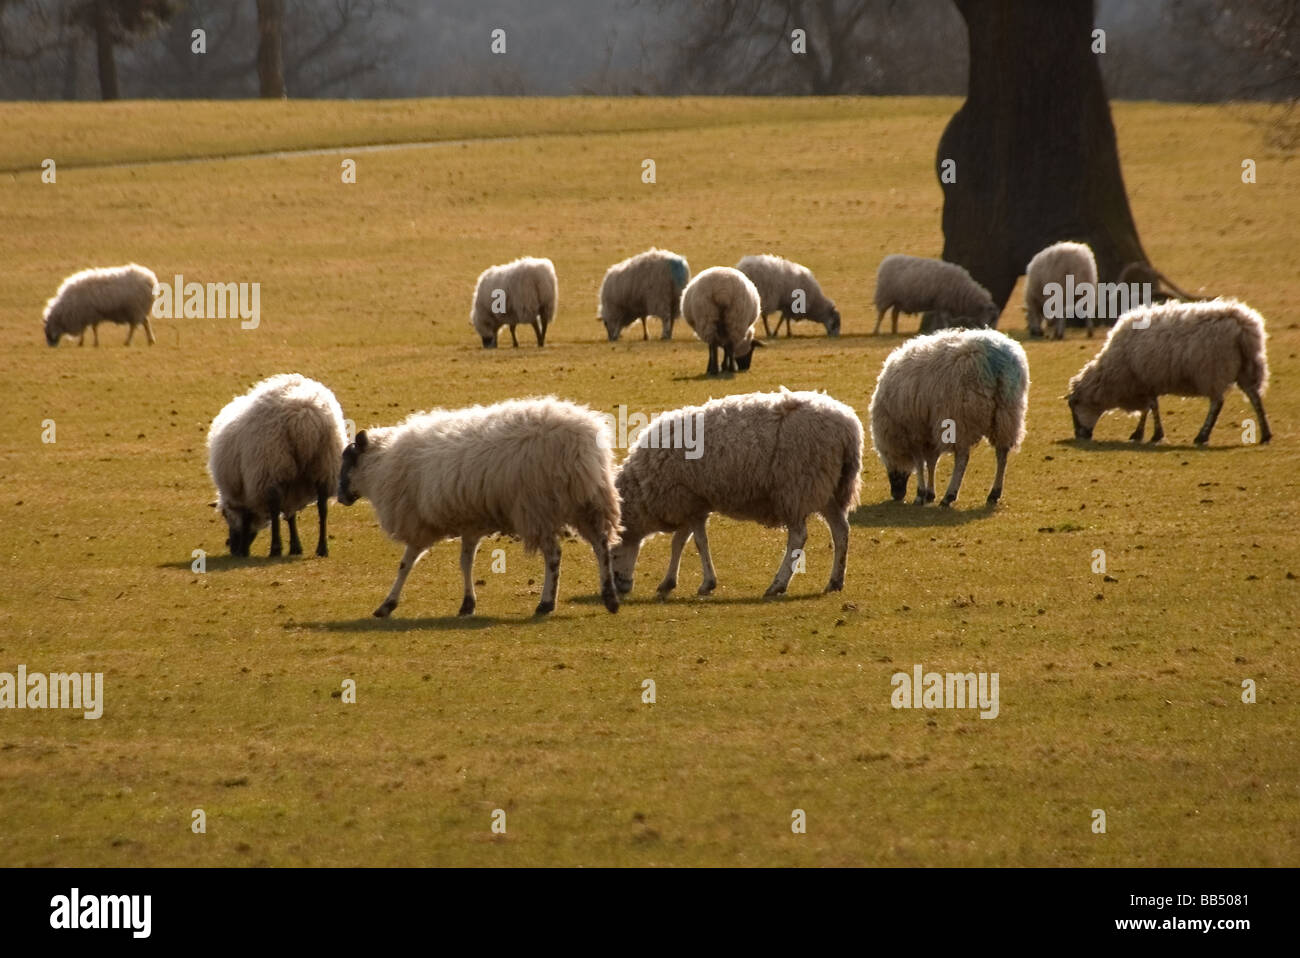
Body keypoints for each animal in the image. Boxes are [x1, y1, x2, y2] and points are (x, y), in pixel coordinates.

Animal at [207, 374, 348, 558]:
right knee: (322, 507)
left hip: (271, 463)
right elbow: (290, 514)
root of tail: (304, 417)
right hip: (325, 462)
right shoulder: (292, 484)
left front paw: (246, 549)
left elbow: (254, 517)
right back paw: (322, 548)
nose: (233, 549)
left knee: (274, 506)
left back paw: (275, 548)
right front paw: (296, 547)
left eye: (225, 515)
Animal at [336, 397, 621, 618]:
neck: (381, 465)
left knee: (554, 555)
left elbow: (405, 564)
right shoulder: (469, 524)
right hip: (589, 500)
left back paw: (546, 603)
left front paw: (387, 605)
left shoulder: (420, 524)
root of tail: (582, 441)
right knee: (601, 545)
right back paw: (610, 597)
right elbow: (466, 562)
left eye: (348, 459)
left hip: (538, 506)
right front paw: (467, 604)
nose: (339, 498)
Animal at [611, 389, 863, 599]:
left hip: (796, 488)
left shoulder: (688, 500)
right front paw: (669, 582)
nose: (620, 588)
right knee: (840, 531)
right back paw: (835, 581)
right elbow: (680, 542)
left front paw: (706, 583)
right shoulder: (694, 502)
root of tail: (849, 427)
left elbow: (698, 543)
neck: (642, 488)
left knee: (798, 537)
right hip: (828, 489)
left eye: (612, 553)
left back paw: (778, 585)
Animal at [869, 328, 1029, 507]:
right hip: (1007, 413)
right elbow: (931, 462)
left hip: (959, 416)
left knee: (962, 458)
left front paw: (920, 494)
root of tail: (996, 362)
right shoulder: (928, 429)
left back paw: (949, 495)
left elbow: (920, 463)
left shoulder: (914, 430)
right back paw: (994, 493)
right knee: (1002, 454)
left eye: (886, 458)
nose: (896, 495)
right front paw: (929, 494)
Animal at [1066, 298, 1271, 446]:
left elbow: (1152, 407)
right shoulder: (1144, 381)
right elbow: (1148, 408)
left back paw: (1202, 436)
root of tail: (1242, 324)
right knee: (1254, 397)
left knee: (1217, 403)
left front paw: (1153, 434)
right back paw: (1265, 434)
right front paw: (1140, 433)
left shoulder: (1143, 379)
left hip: (1213, 370)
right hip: (1247, 367)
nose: (1080, 436)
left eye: (1074, 407)